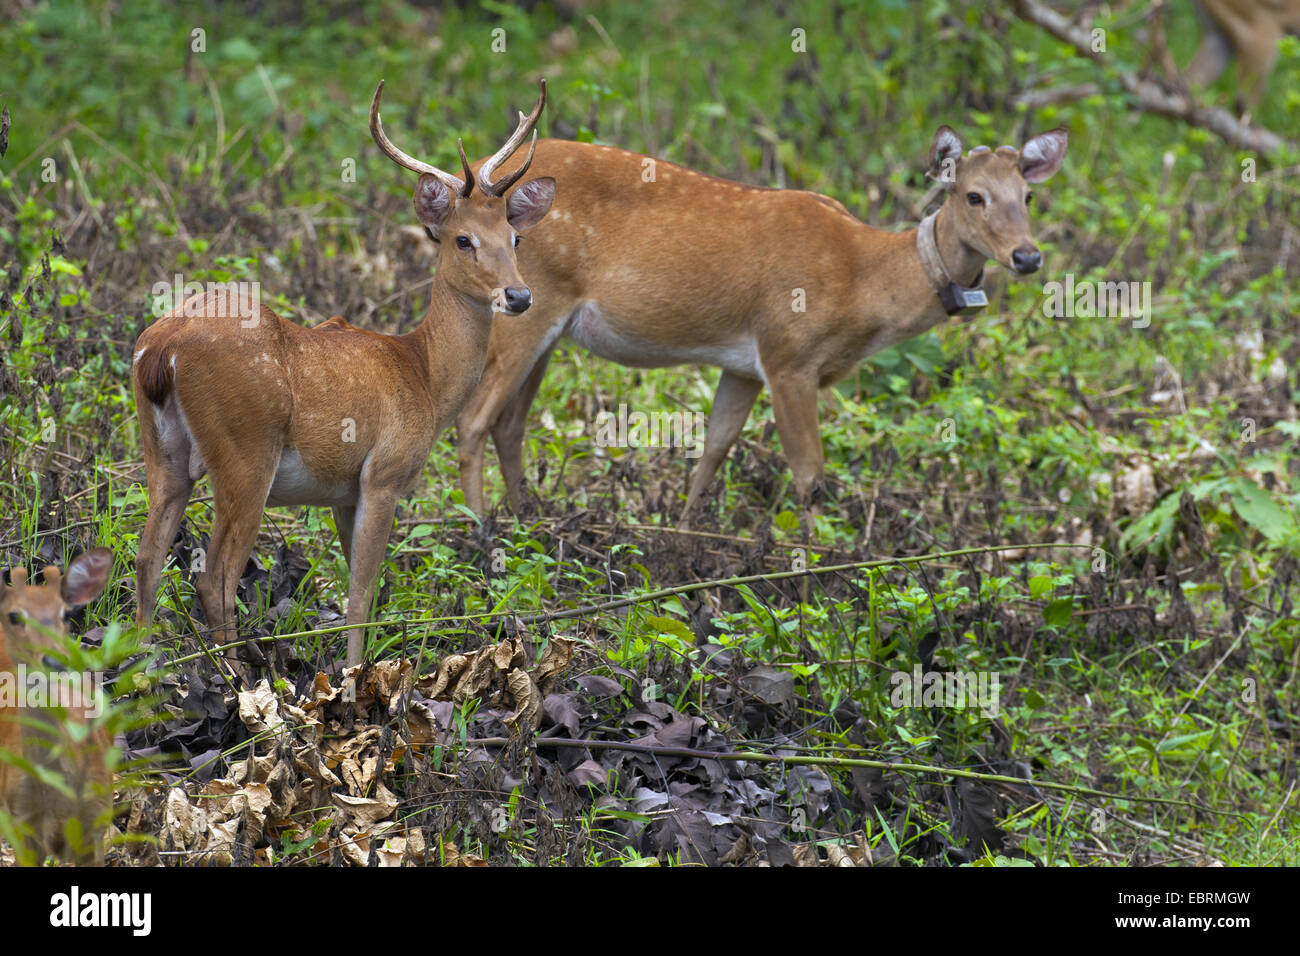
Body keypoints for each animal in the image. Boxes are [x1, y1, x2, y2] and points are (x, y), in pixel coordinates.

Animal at [131, 80, 556, 674]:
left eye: (514, 239)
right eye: (462, 240)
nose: (518, 296)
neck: (425, 374)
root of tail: (161, 349)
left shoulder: (343, 493)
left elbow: (364, 587)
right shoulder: (385, 473)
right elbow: (359, 595)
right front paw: (357, 674)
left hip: (163, 449)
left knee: (147, 556)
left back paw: (146, 664)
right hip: (246, 450)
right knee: (214, 576)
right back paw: (240, 676)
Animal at [455, 125, 1067, 527]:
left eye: (1029, 196)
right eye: (974, 195)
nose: (1028, 256)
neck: (862, 282)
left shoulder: (745, 365)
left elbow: (714, 447)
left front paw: (683, 541)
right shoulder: (788, 353)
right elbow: (811, 477)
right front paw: (816, 584)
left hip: (549, 327)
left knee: (510, 423)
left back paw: (528, 518)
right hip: (524, 307)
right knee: (475, 419)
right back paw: (481, 533)